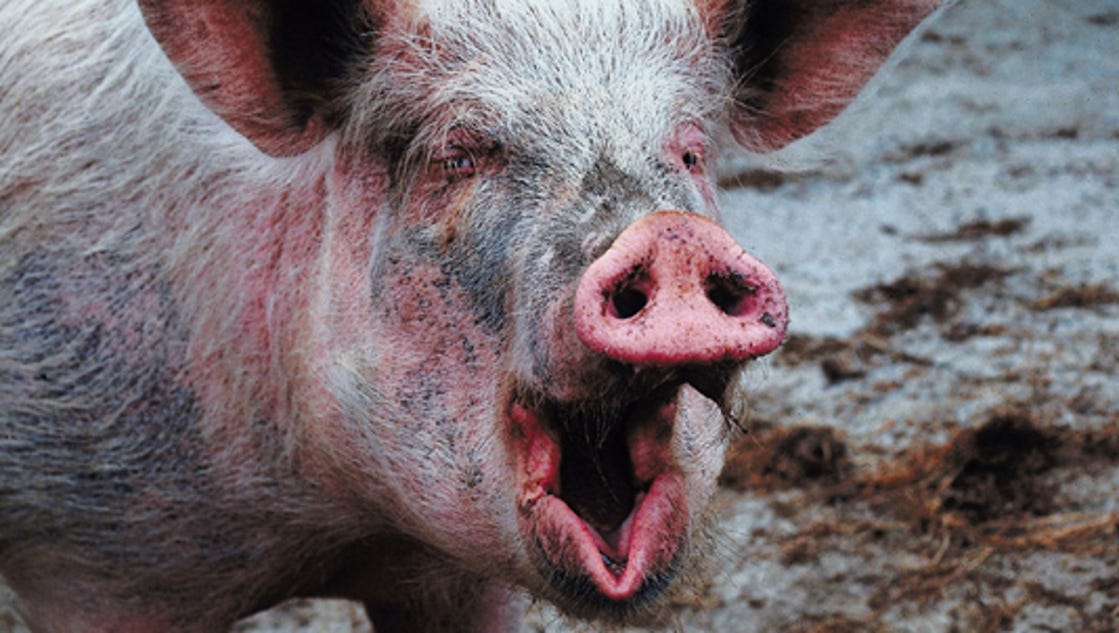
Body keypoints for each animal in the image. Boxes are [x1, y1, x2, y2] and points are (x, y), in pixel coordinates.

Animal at [0, 0, 942, 631]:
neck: (332, 521)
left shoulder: (453, 580)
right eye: (458, 154)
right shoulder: (99, 566)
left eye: (687, 150)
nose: (669, 234)